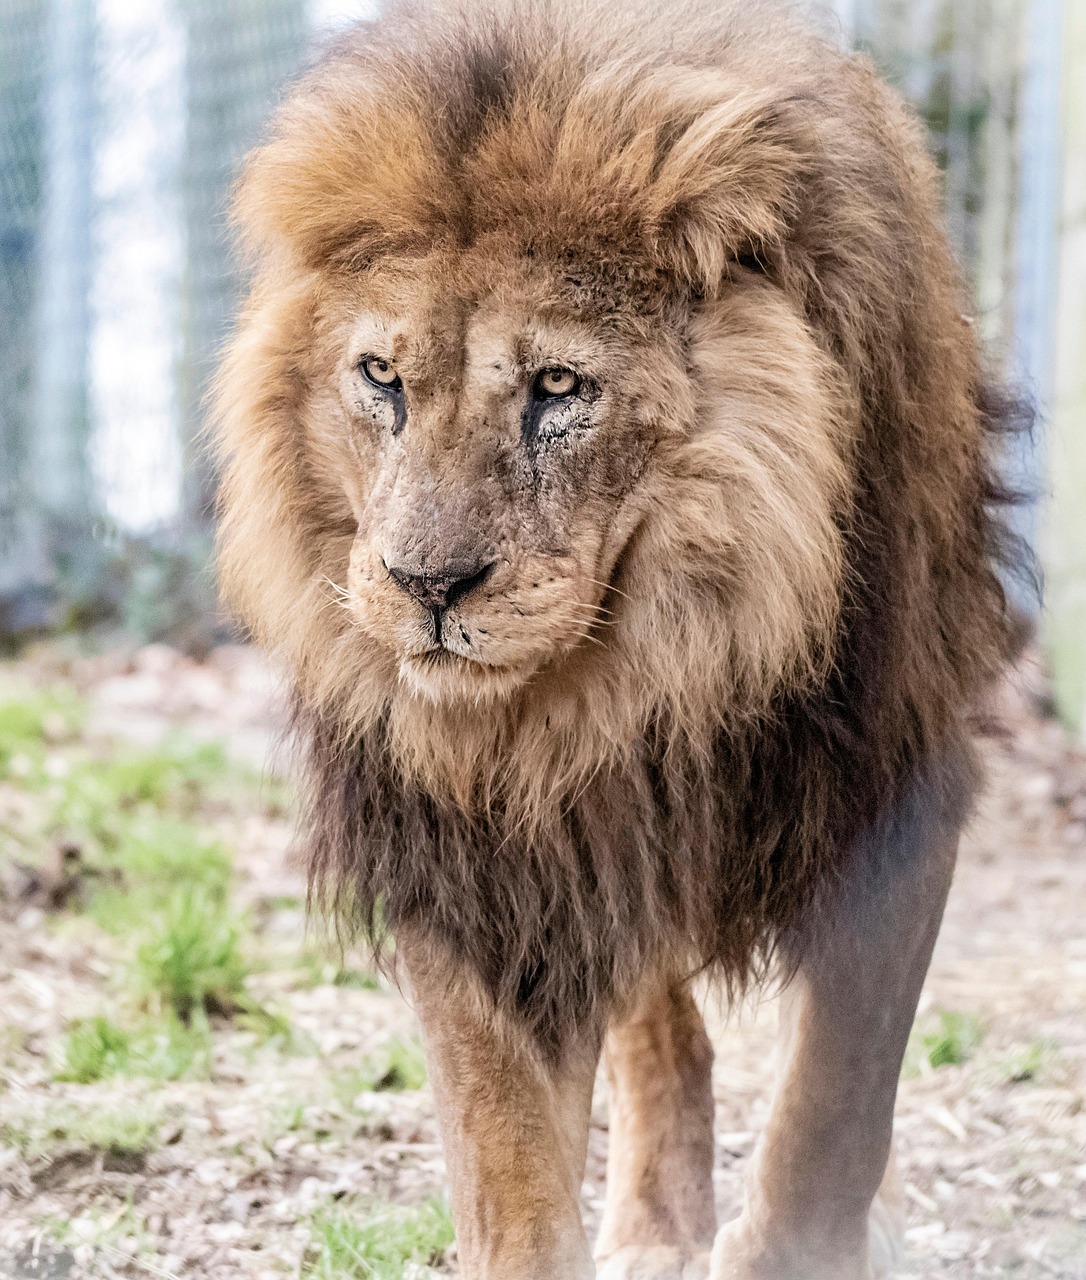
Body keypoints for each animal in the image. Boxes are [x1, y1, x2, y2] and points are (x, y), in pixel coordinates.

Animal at [211, 1, 1026, 1276]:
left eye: (557, 385)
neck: (660, 660)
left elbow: (835, 1101)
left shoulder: (892, 789)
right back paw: (653, 1222)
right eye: (382, 377)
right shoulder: (468, 862)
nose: (424, 584)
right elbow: (506, 1150)